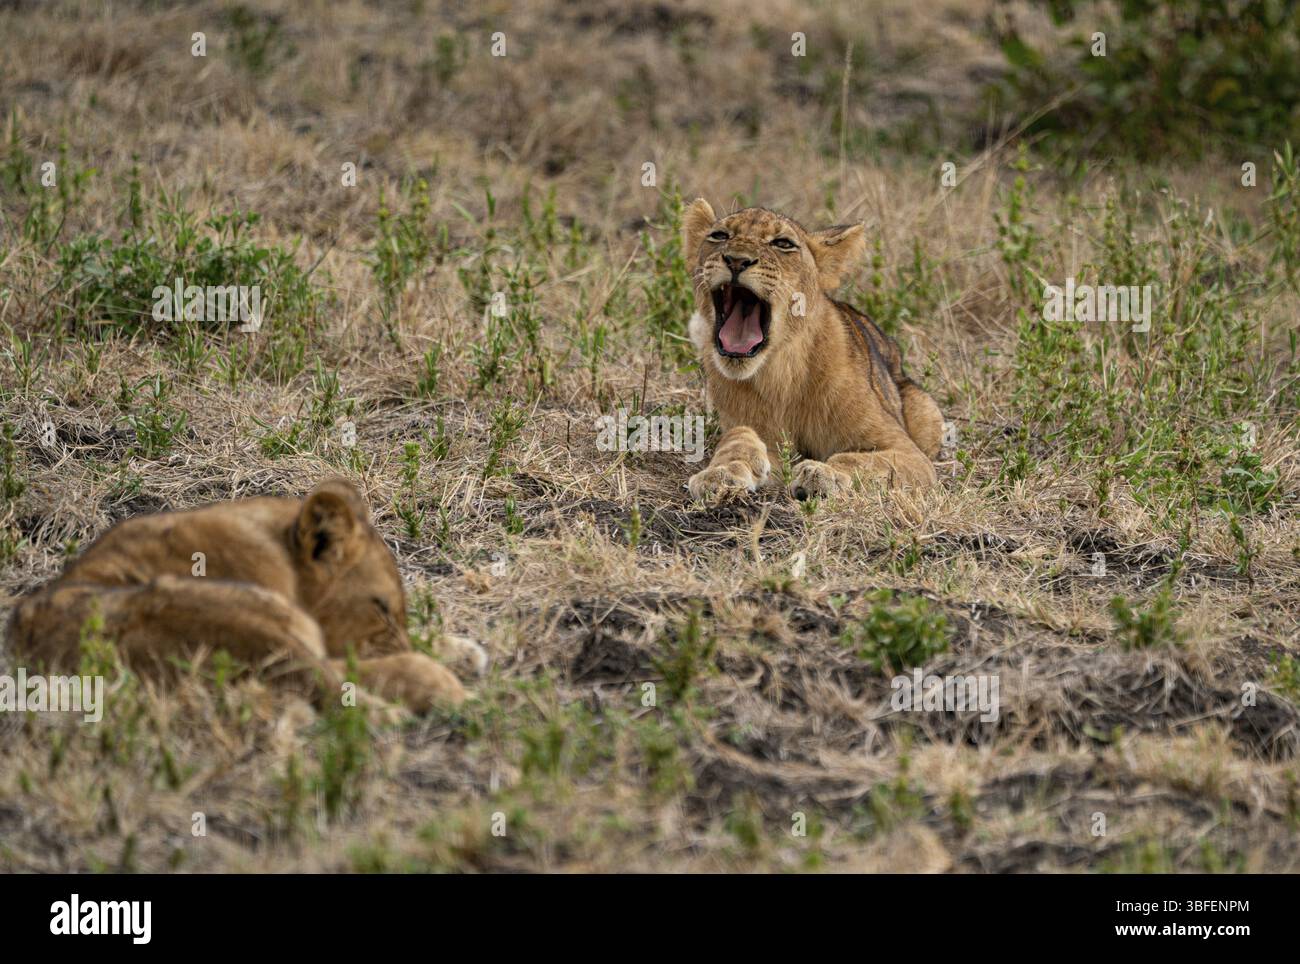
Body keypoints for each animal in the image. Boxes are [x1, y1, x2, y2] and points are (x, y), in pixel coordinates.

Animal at [681, 200, 943, 502]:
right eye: (719, 235)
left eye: (783, 243)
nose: (736, 260)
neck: (783, 374)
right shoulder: (759, 436)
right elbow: (737, 441)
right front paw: (720, 474)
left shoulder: (908, 453)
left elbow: (863, 460)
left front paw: (823, 474)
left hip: (925, 409)